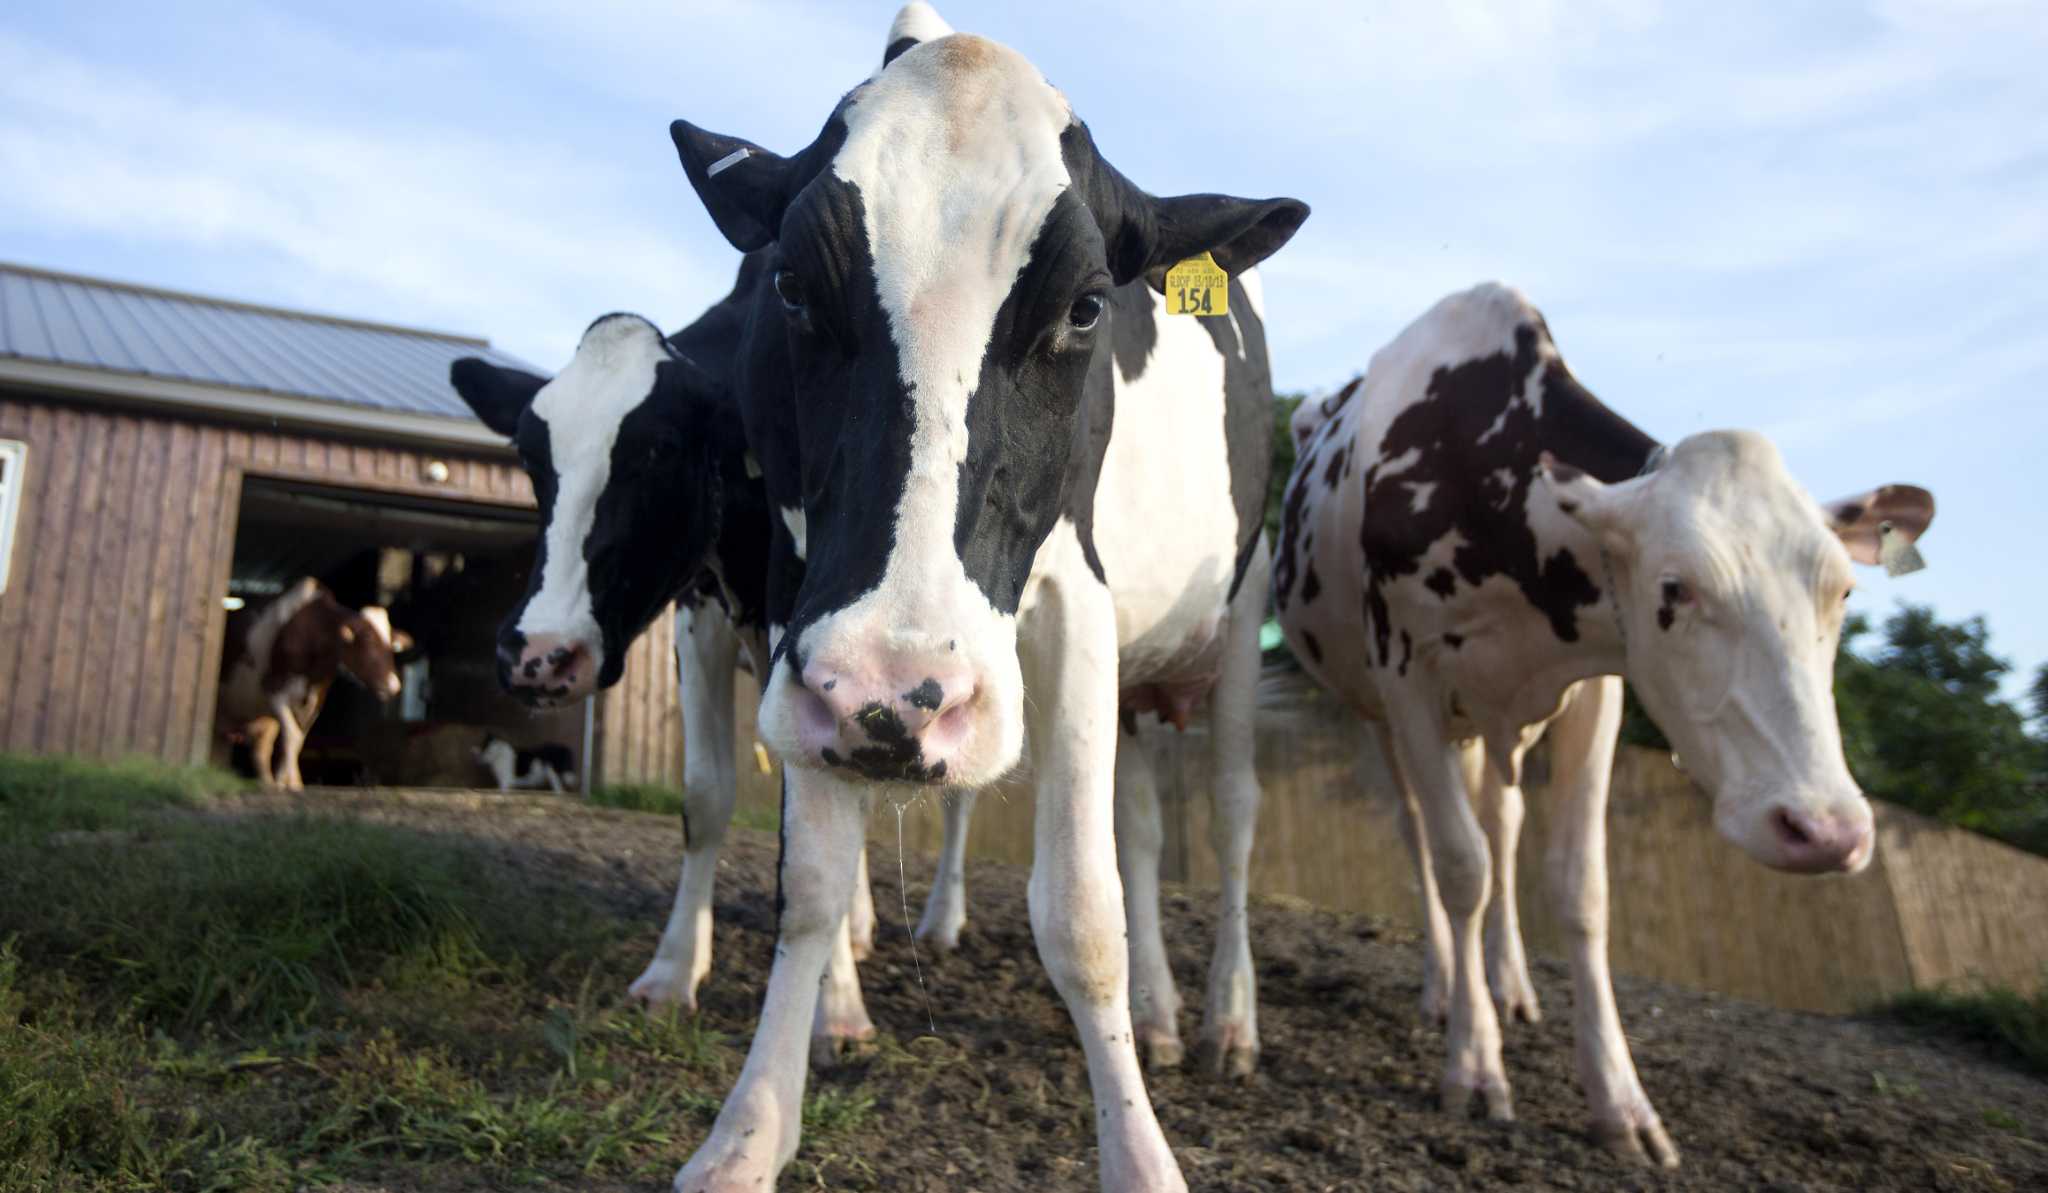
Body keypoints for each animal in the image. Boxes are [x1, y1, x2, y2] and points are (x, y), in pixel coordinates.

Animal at [215, 577, 412, 790]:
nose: (393, 685)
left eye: (392, 645)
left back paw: (267, 783)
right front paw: (285, 783)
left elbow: (297, 741)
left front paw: (291, 784)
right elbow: (292, 735)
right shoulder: (273, 689)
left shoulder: (315, 701)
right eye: (367, 640)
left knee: (260, 751)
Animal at [663, 5, 1308, 1189]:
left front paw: (1140, 1155)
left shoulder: (1078, 602)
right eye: (790, 286)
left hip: (1236, 617)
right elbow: (810, 881)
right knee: (1144, 824)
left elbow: (1083, 911)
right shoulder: (798, 603)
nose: (890, 687)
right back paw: (1157, 1013)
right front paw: (745, 1137)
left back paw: (1224, 1021)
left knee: (1230, 816)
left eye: (1088, 306)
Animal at [1274, 281, 1935, 1167]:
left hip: (1491, 723)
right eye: (1674, 588)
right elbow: (1459, 867)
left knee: (1504, 820)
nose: (1825, 830)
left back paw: (1510, 982)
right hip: (1379, 709)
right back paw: (1448, 985)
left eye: (1844, 591)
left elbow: (1579, 887)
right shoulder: (1407, 674)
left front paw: (1620, 1101)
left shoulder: (1598, 690)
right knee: (1423, 834)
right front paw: (1474, 1065)